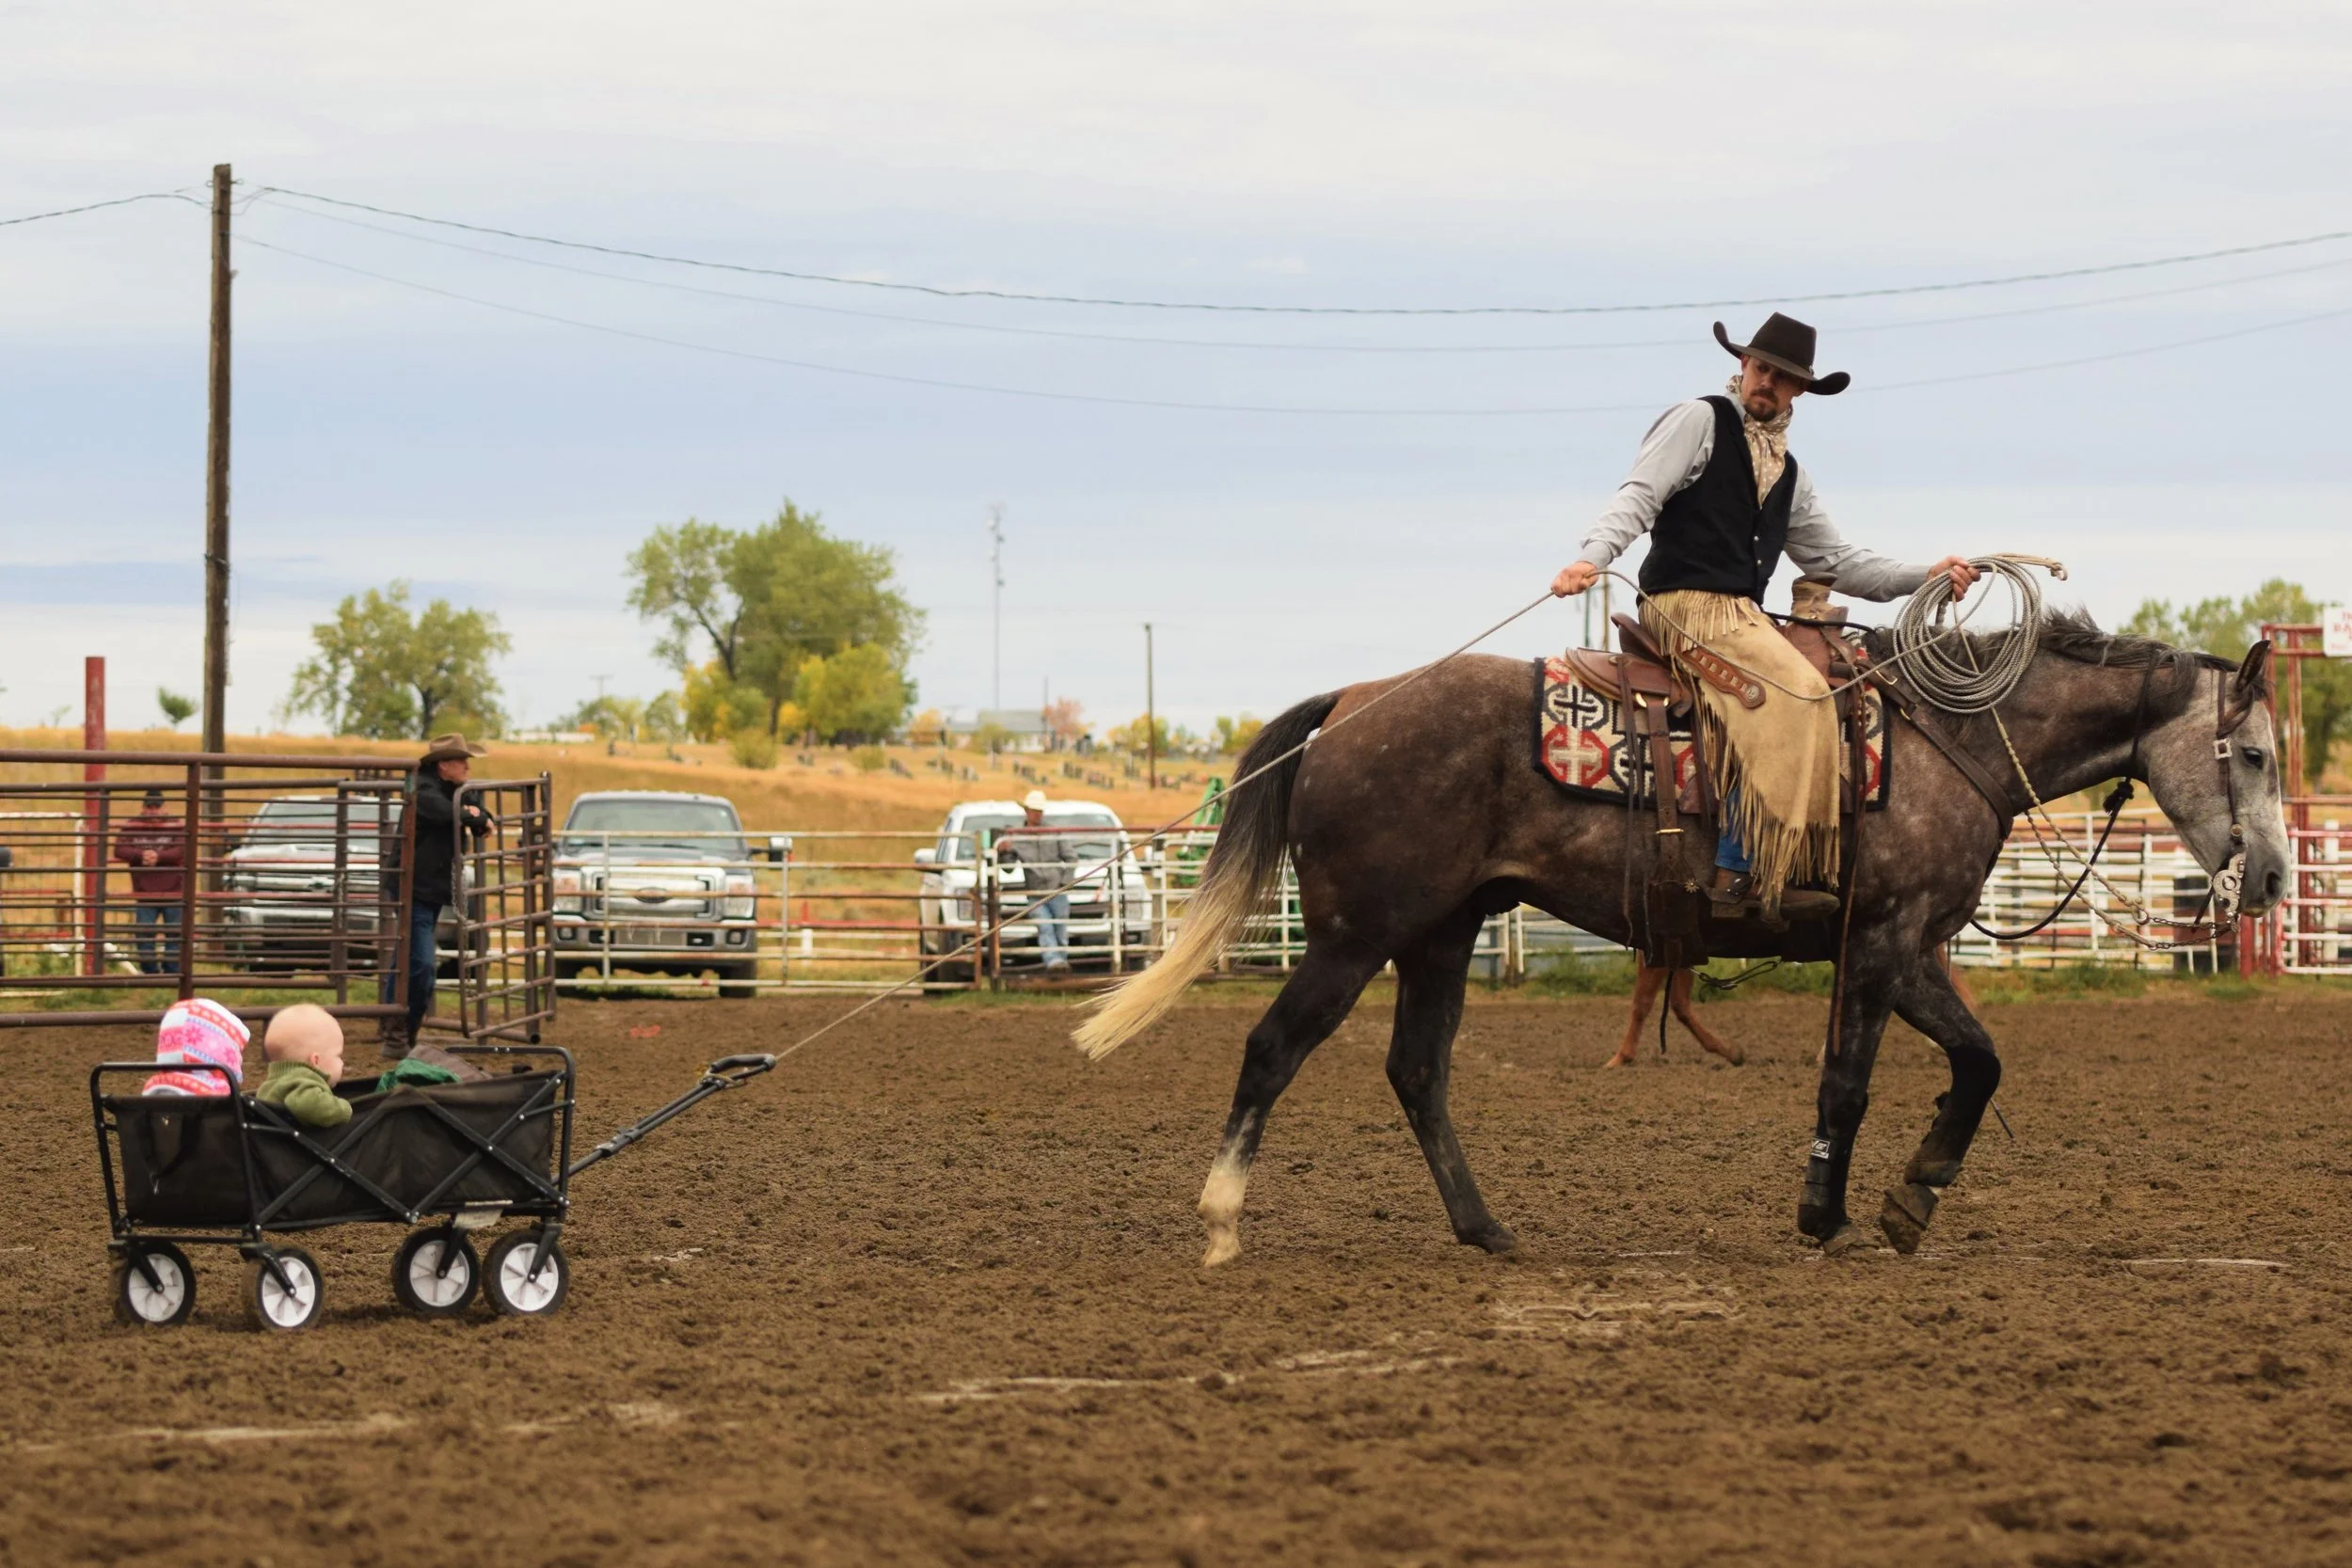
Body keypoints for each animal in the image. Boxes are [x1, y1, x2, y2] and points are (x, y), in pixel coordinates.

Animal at [1075, 613, 2287, 1265]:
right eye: (2257, 754)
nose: (2274, 877)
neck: (1945, 740)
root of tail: (1350, 703)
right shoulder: (1882, 939)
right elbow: (1849, 1080)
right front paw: (1828, 1214)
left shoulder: (1914, 948)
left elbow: (1979, 1062)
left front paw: (1910, 1196)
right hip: (1351, 935)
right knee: (1274, 1049)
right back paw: (1222, 1222)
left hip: (1438, 934)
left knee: (1417, 1069)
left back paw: (1486, 1227)